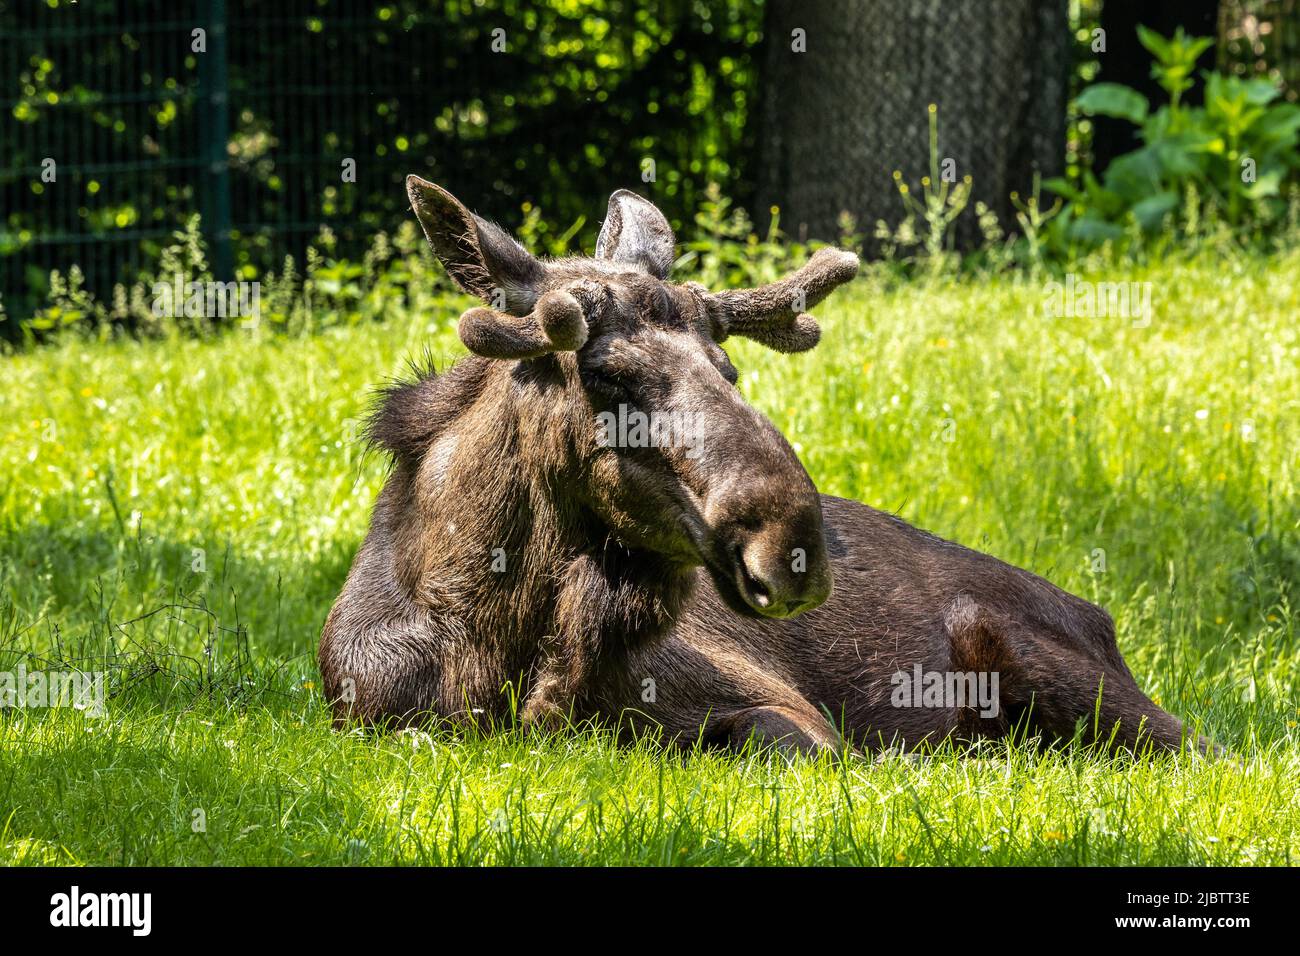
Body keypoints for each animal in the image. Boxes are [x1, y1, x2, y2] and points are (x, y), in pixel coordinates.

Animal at [318, 176, 1212, 757]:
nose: (790, 541)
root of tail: (1103, 617)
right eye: (606, 374)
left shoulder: (790, 716)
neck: (490, 645)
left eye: (728, 368)